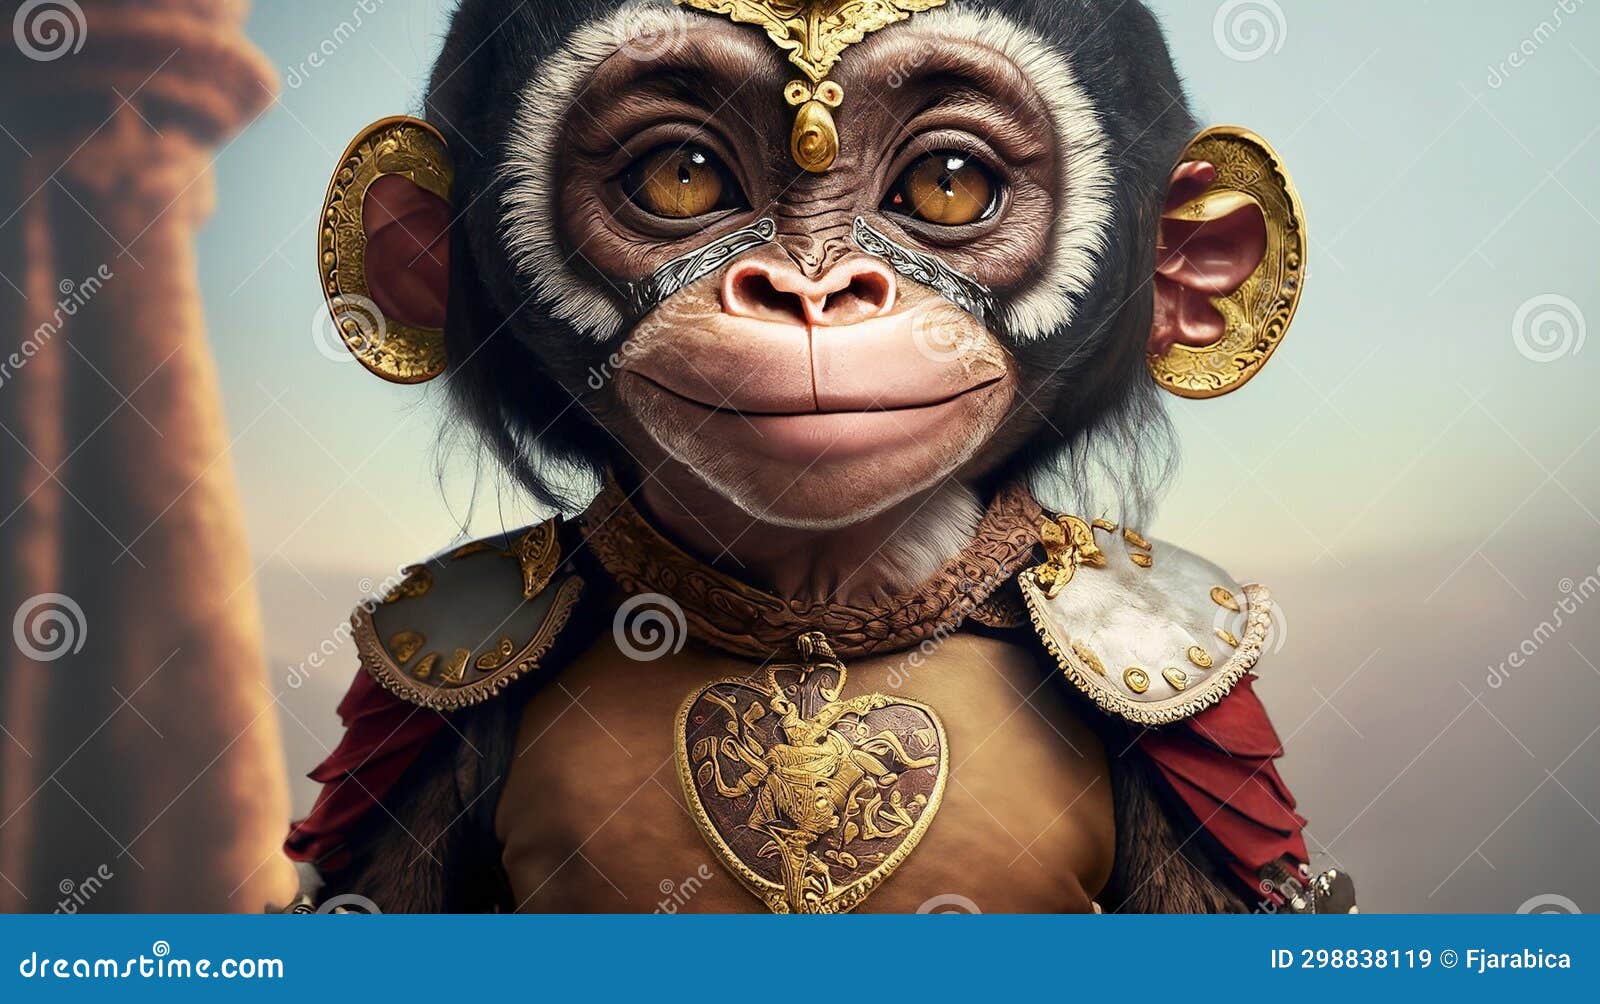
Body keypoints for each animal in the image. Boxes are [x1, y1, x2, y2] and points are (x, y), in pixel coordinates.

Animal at [287, 0, 1354, 915]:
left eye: (949, 183)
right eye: (681, 174)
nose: (811, 290)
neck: (818, 609)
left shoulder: (1184, 702)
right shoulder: (430, 684)